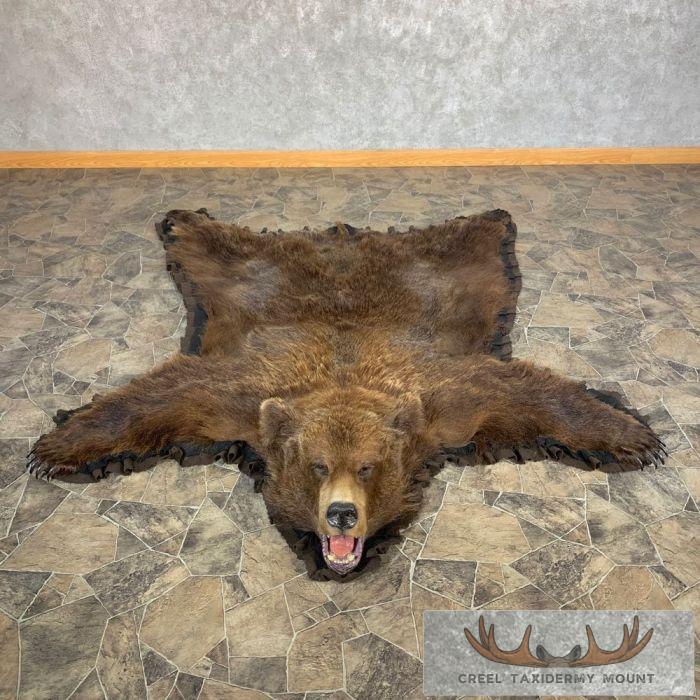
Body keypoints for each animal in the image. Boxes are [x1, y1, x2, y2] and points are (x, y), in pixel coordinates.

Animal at [28, 208, 665, 576]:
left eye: (367, 466)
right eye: (316, 466)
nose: (340, 514)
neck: (342, 384)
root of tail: (340, 237)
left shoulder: (448, 398)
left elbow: (526, 392)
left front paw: (630, 433)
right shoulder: (239, 396)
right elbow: (163, 394)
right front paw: (60, 445)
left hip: (447, 267)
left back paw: (489, 219)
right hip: (242, 272)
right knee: (217, 244)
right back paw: (184, 220)